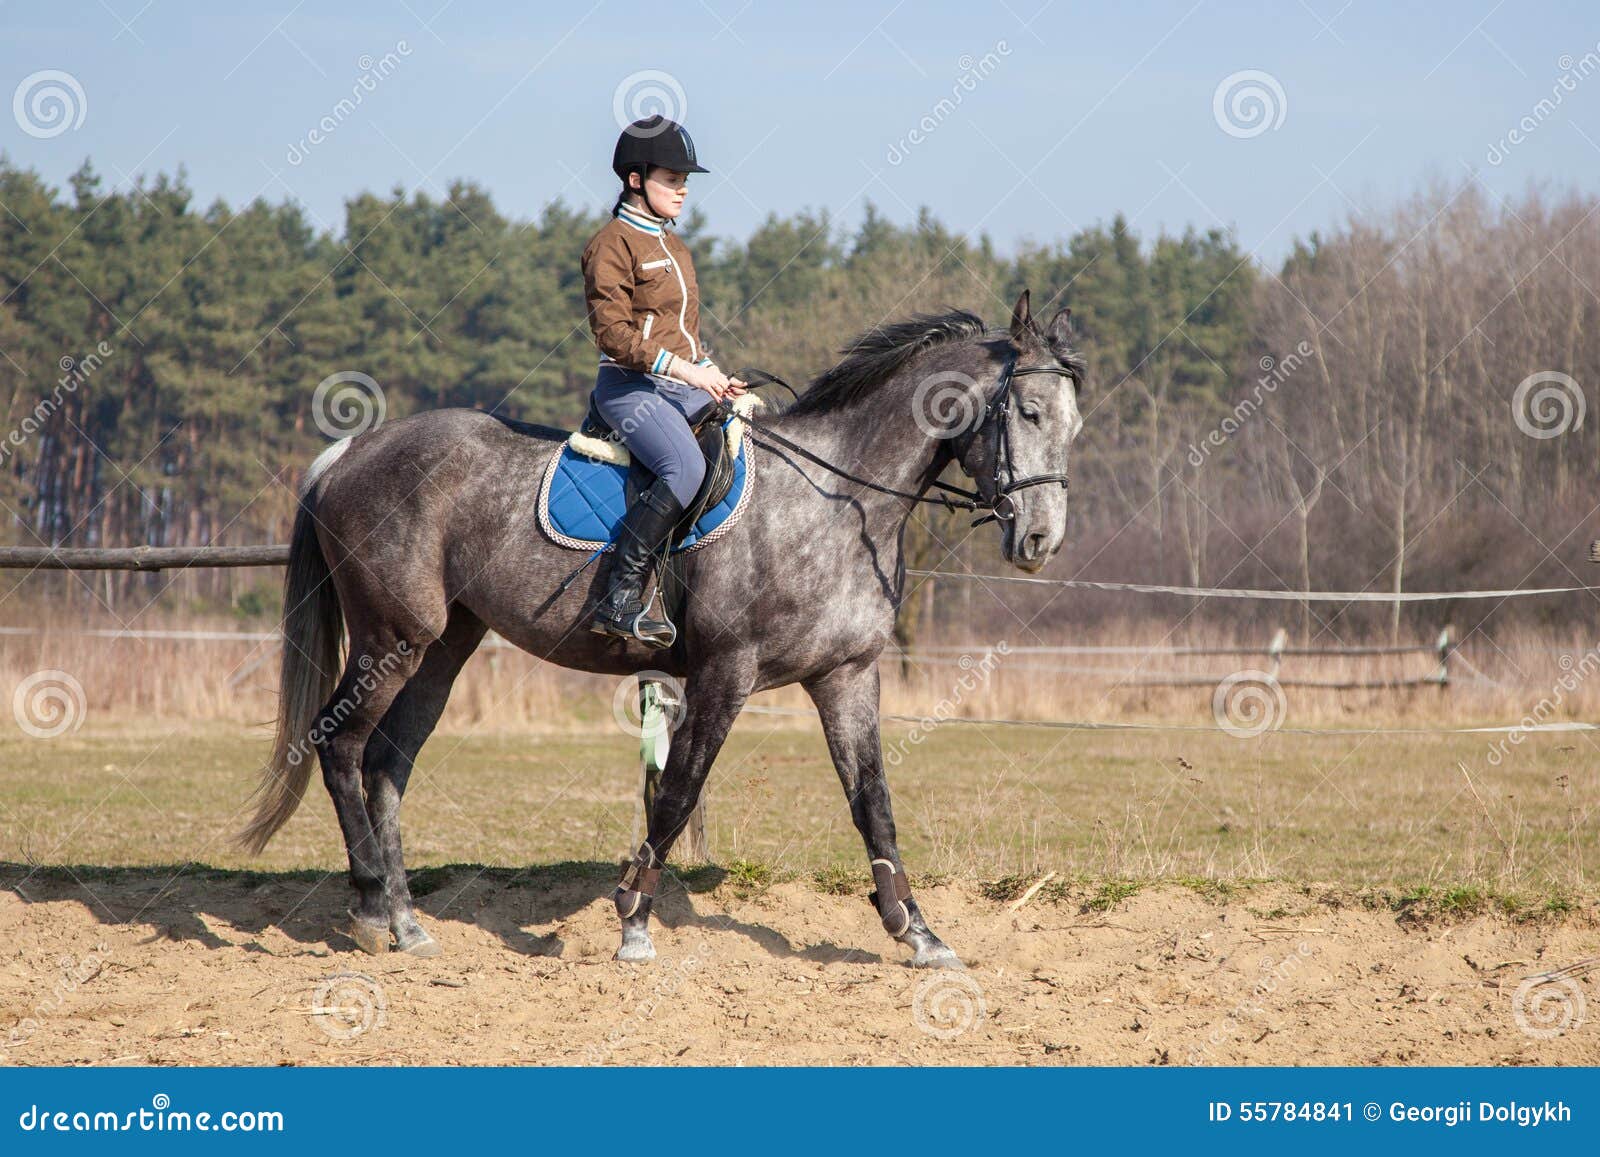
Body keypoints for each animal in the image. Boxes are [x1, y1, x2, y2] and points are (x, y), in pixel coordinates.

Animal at [237, 289, 1086, 969]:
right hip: (391, 639)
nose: (1040, 542)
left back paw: (408, 923)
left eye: (1073, 426)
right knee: (340, 746)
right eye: (1030, 413)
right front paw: (635, 922)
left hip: (444, 645)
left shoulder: (846, 676)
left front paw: (918, 931)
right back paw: (369, 910)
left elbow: (871, 799)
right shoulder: (724, 672)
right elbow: (678, 792)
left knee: (388, 762)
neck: (837, 499)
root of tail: (353, 449)